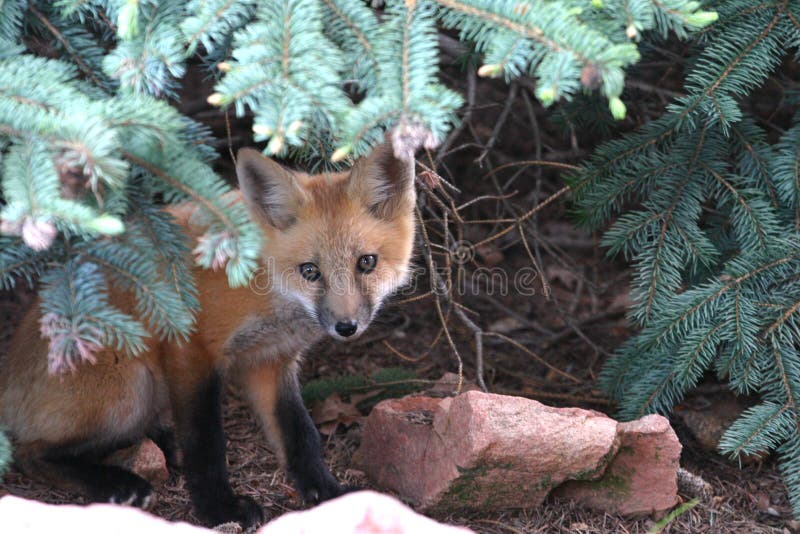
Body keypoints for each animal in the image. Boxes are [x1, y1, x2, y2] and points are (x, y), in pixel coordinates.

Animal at [0, 142, 416, 528]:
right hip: (129, 389)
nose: (346, 326)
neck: (260, 280)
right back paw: (117, 483)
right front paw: (220, 510)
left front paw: (328, 495)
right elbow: (206, 441)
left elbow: (301, 434)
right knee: (30, 454)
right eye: (310, 271)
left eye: (367, 263)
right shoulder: (191, 349)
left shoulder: (270, 360)